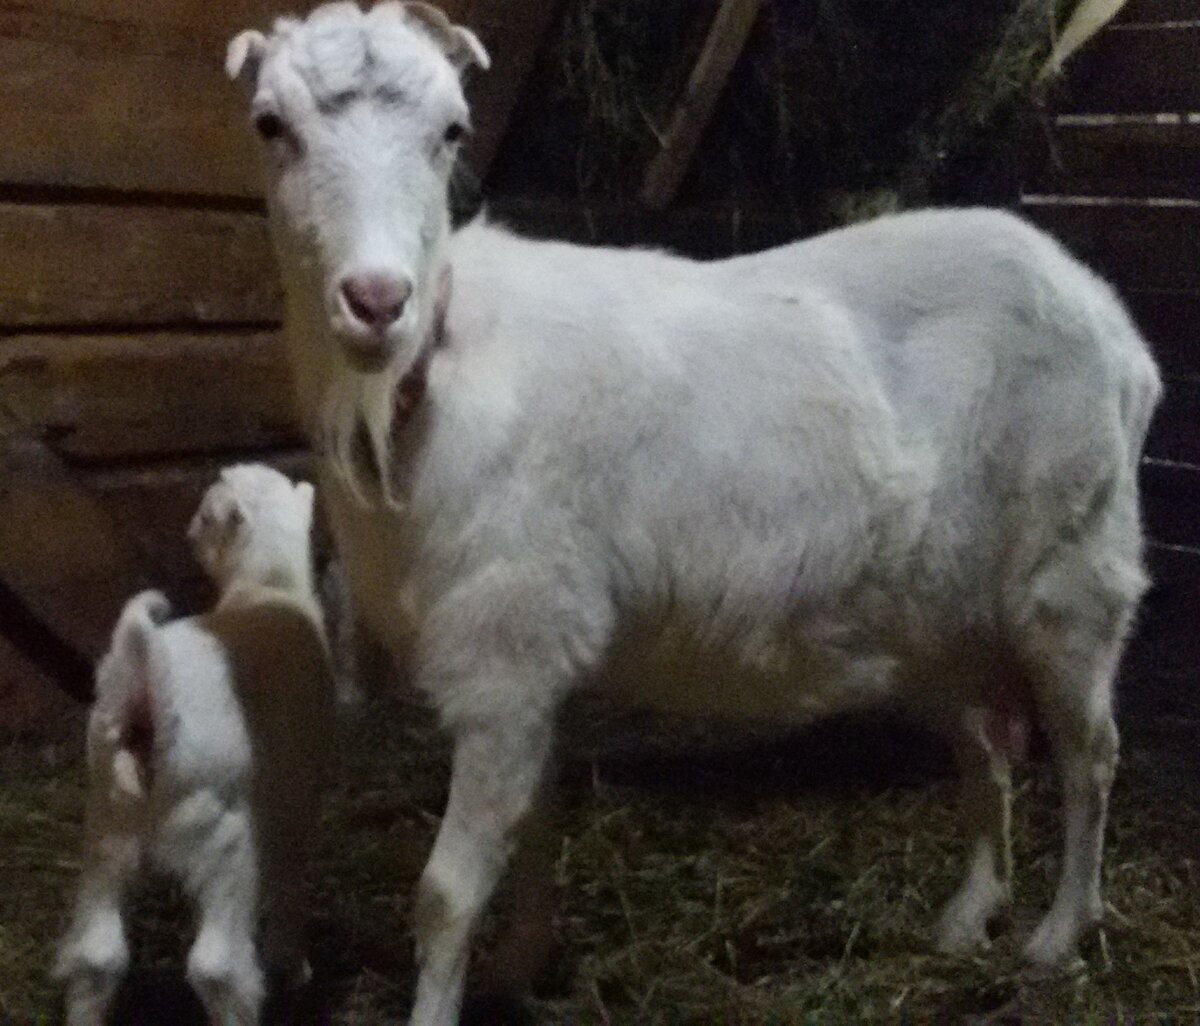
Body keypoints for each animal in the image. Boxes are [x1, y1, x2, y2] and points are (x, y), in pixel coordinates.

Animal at [55, 468, 333, 1026]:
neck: (268, 585)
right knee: (217, 967)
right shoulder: (297, 792)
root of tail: (146, 696)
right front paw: (294, 967)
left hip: (107, 826)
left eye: (203, 516)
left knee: (97, 955)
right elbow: (290, 879)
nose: (185, 532)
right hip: (223, 835)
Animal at [226, 4, 1161, 1022]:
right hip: (946, 607)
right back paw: (966, 918)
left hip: (1075, 570)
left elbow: (447, 894)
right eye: (269, 125)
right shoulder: (535, 662)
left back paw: (1058, 933)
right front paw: (523, 965)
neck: (424, 375)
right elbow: (531, 835)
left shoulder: (504, 652)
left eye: (452, 133)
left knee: (1091, 757)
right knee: (985, 751)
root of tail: (1113, 321)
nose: (375, 300)